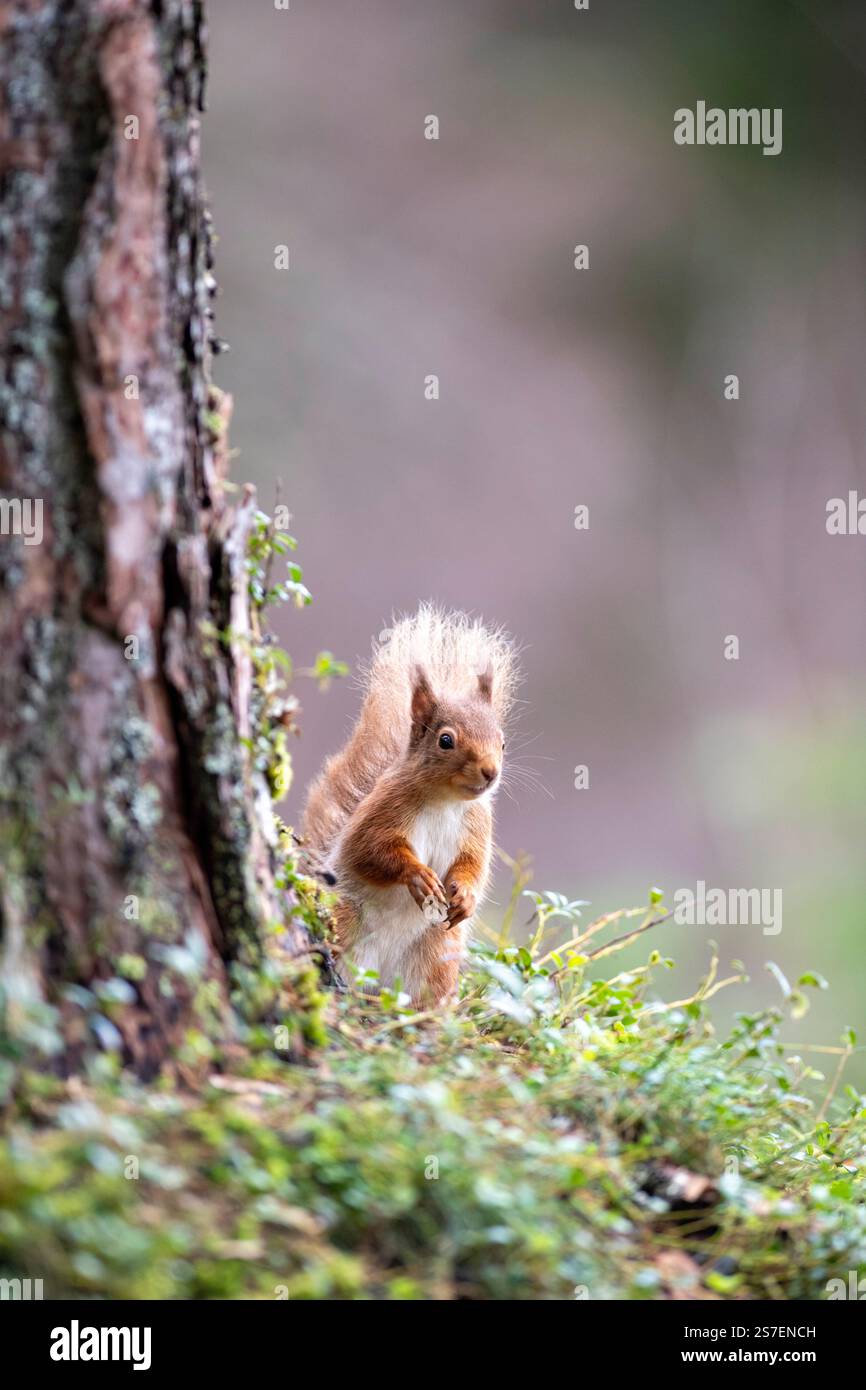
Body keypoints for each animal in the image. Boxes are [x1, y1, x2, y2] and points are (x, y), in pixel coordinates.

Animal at [301, 604, 519, 1006]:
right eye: (446, 740)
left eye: (502, 742)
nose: (490, 772)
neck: (445, 802)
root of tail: (379, 982)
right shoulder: (383, 809)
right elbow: (370, 851)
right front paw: (418, 874)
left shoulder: (477, 825)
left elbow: (473, 866)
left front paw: (465, 896)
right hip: (345, 919)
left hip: (436, 954)